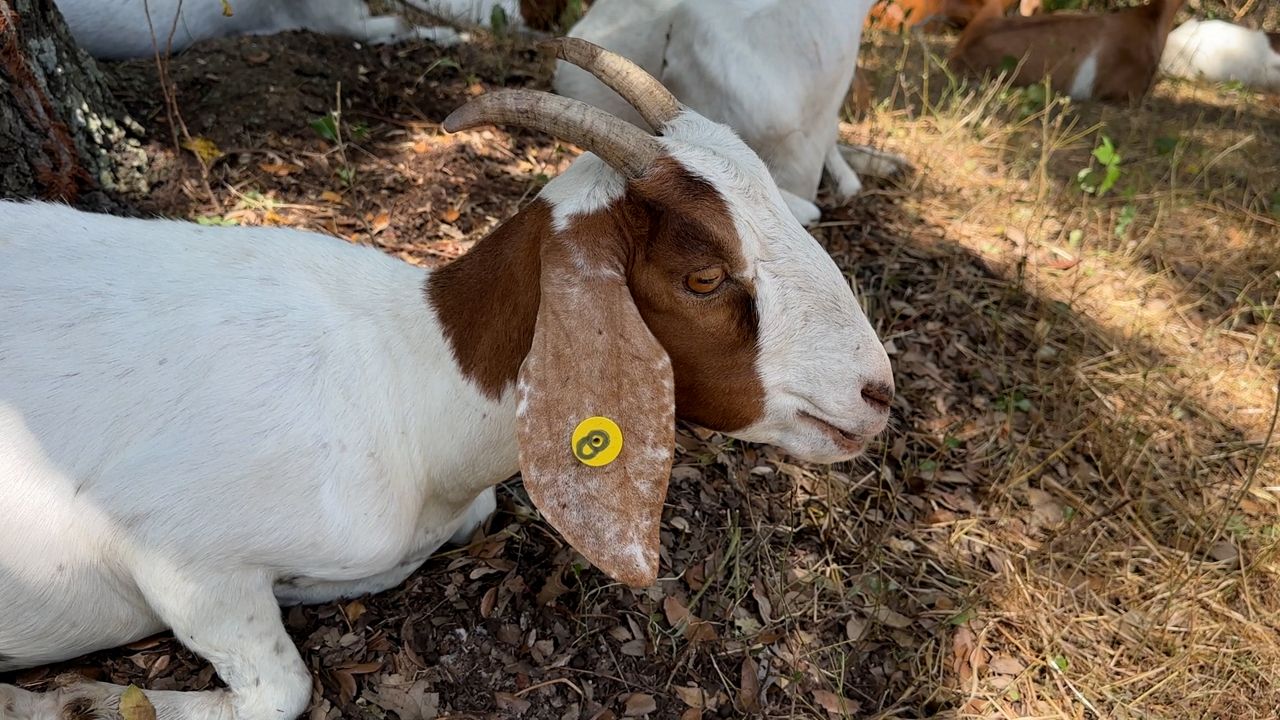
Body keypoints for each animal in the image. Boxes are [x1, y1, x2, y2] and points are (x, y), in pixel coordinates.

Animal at [0, 38, 893, 720]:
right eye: (704, 277)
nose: (877, 392)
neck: (408, 378)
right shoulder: (180, 553)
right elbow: (281, 691)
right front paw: (65, 701)